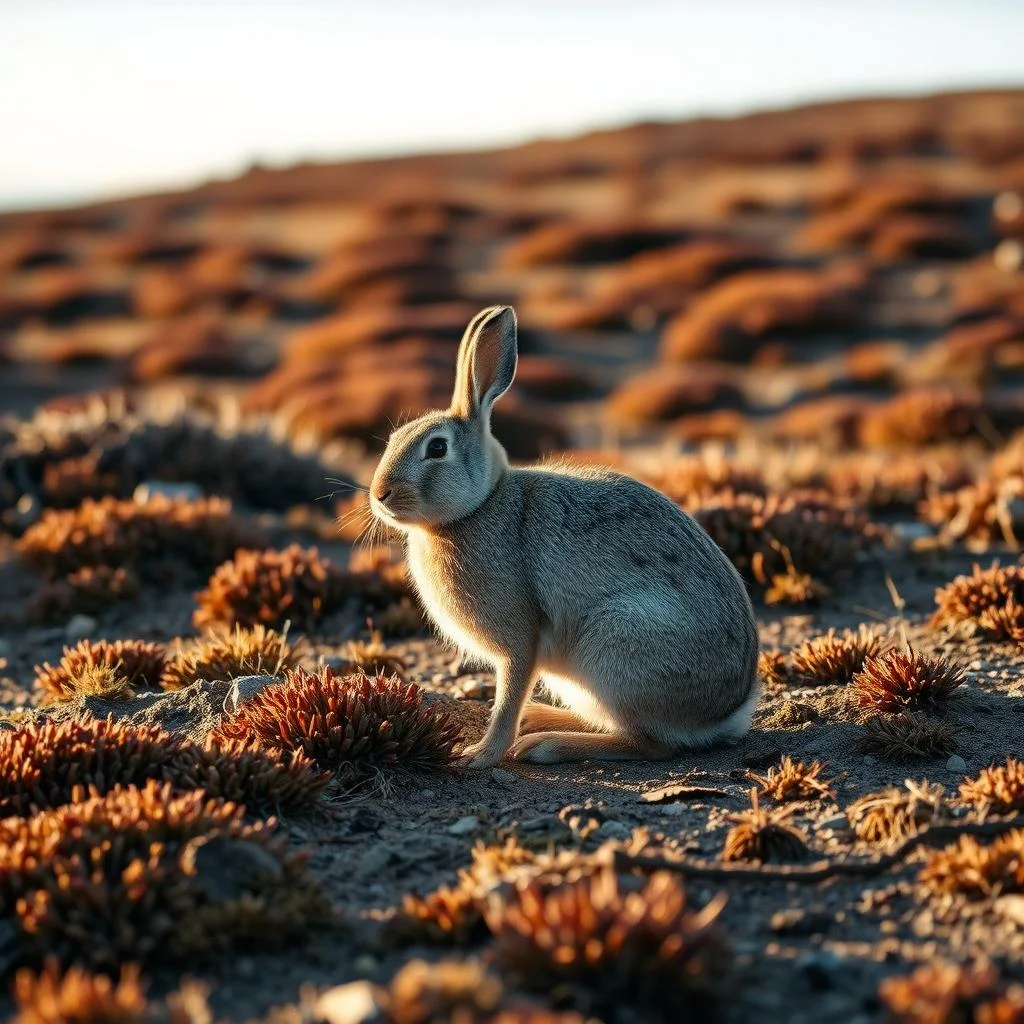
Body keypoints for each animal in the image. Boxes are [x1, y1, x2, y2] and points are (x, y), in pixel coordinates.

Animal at [369, 305, 760, 769]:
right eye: (394, 438)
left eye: (437, 448)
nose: (379, 494)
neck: (480, 506)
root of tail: (727, 712)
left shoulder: (520, 640)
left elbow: (509, 695)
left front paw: (480, 755)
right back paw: (542, 719)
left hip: (614, 644)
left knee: (650, 744)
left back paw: (546, 744)